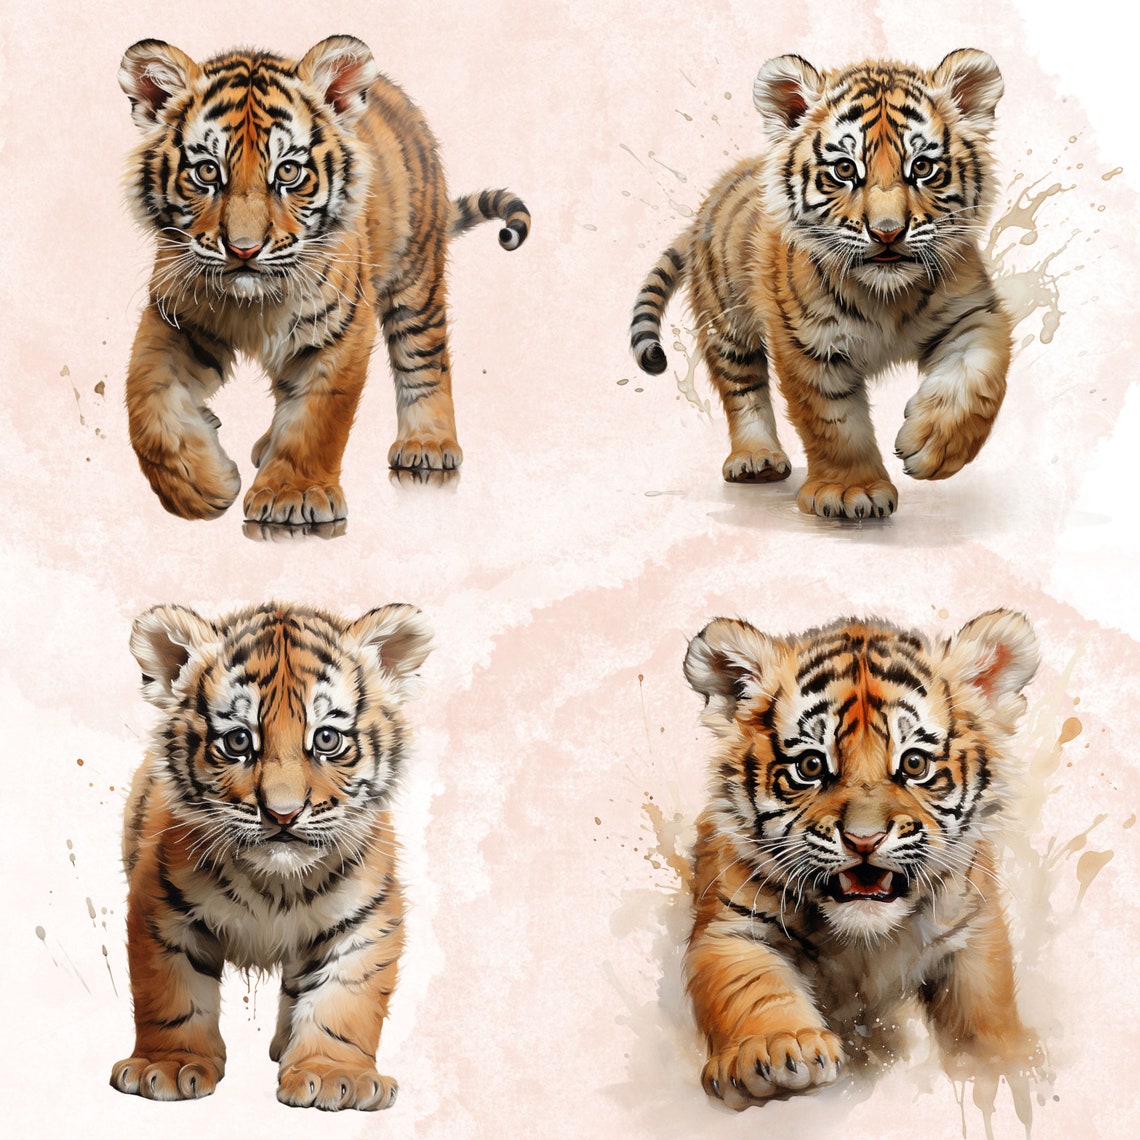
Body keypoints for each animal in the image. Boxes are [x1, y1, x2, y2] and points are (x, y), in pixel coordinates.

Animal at [109, 600, 433, 1110]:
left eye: (327, 739)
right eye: (238, 741)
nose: (283, 813)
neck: (276, 880)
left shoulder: (365, 921)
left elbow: (343, 1002)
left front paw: (334, 1074)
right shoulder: (161, 912)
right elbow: (172, 997)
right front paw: (168, 1066)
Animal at [118, 36, 530, 524]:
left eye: (288, 172)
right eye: (206, 172)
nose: (243, 250)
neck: (254, 303)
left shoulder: (342, 330)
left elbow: (319, 415)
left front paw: (290, 495)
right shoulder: (175, 319)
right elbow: (146, 400)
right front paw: (201, 487)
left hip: (415, 280)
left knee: (425, 359)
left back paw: (427, 444)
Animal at [632, 51, 1010, 519]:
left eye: (922, 167)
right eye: (845, 169)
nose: (887, 233)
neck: (887, 295)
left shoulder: (973, 314)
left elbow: (977, 379)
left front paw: (934, 446)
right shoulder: (809, 344)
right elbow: (834, 422)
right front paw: (851, 491)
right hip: (726, 320)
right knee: (742, 387)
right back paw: (756, 459)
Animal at [682, 610, 1040, 1108]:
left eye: (914, 764)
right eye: (810, 767)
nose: (863, 840)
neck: (865, 941)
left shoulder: (971, 931)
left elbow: (985, 1008)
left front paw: (1004, 1064)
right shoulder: (733, 926)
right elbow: (751, 988)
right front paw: (777, 1049)